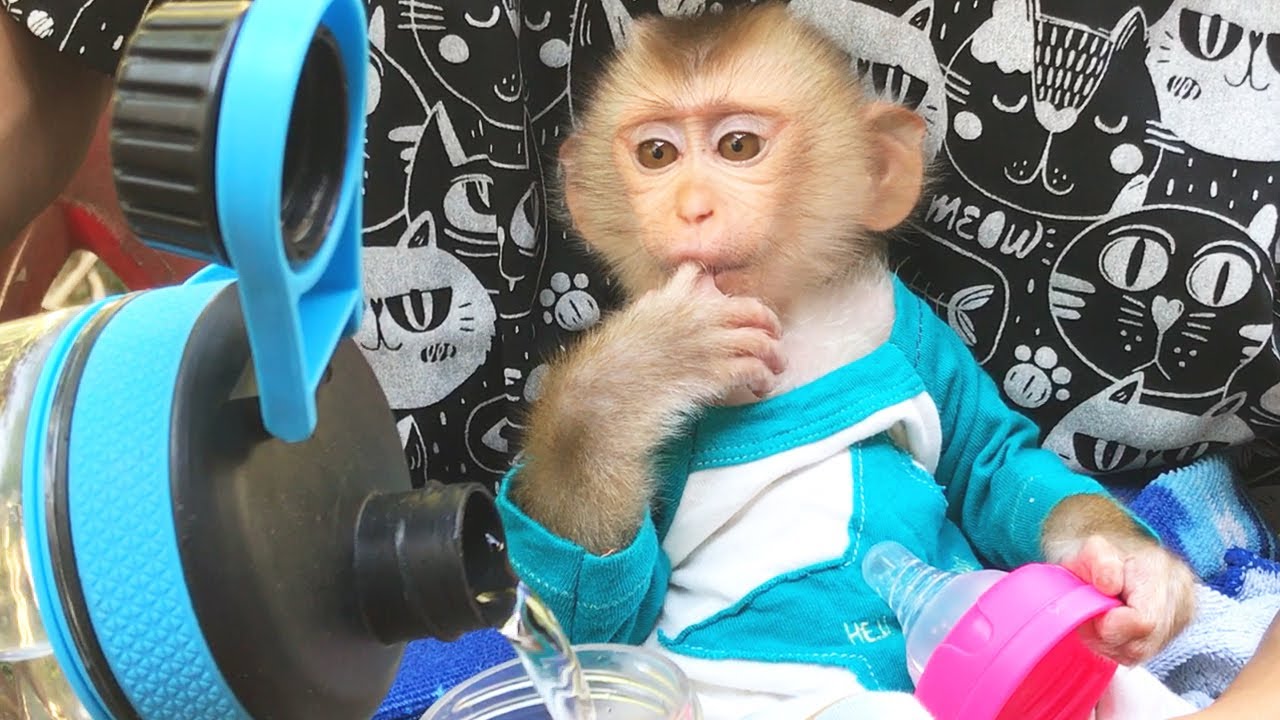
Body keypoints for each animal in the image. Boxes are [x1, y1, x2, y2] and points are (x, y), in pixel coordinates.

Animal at [492, 4, 1197, 717]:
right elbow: (601, 628)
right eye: (656, 154)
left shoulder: (927, 341)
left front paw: (1128, 563)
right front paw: (644, 366)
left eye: (738, 147)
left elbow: (994, 467)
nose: (691, 208)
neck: (791, 322)